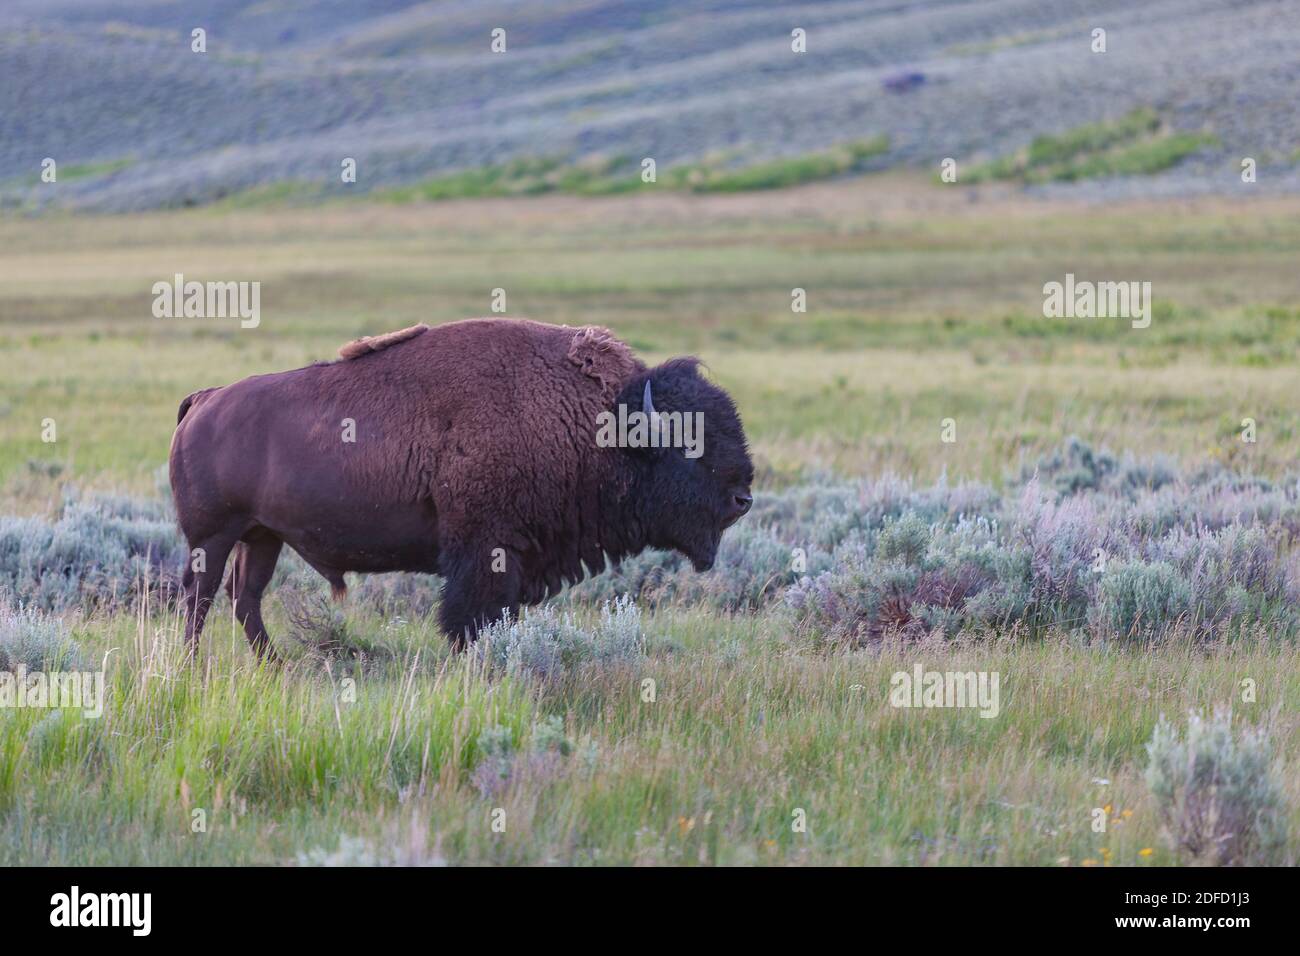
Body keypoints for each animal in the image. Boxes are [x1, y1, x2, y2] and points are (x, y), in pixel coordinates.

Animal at [168, 318, 754, 659]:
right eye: (690, 447)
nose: (743, 498)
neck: (602, 423)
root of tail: (206, 398)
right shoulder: (484, 551)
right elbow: (472, 616)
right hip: (213, 536)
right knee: (200, 598)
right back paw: (194, 667)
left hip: (262, 535)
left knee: (244, 597)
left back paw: (274, 667)